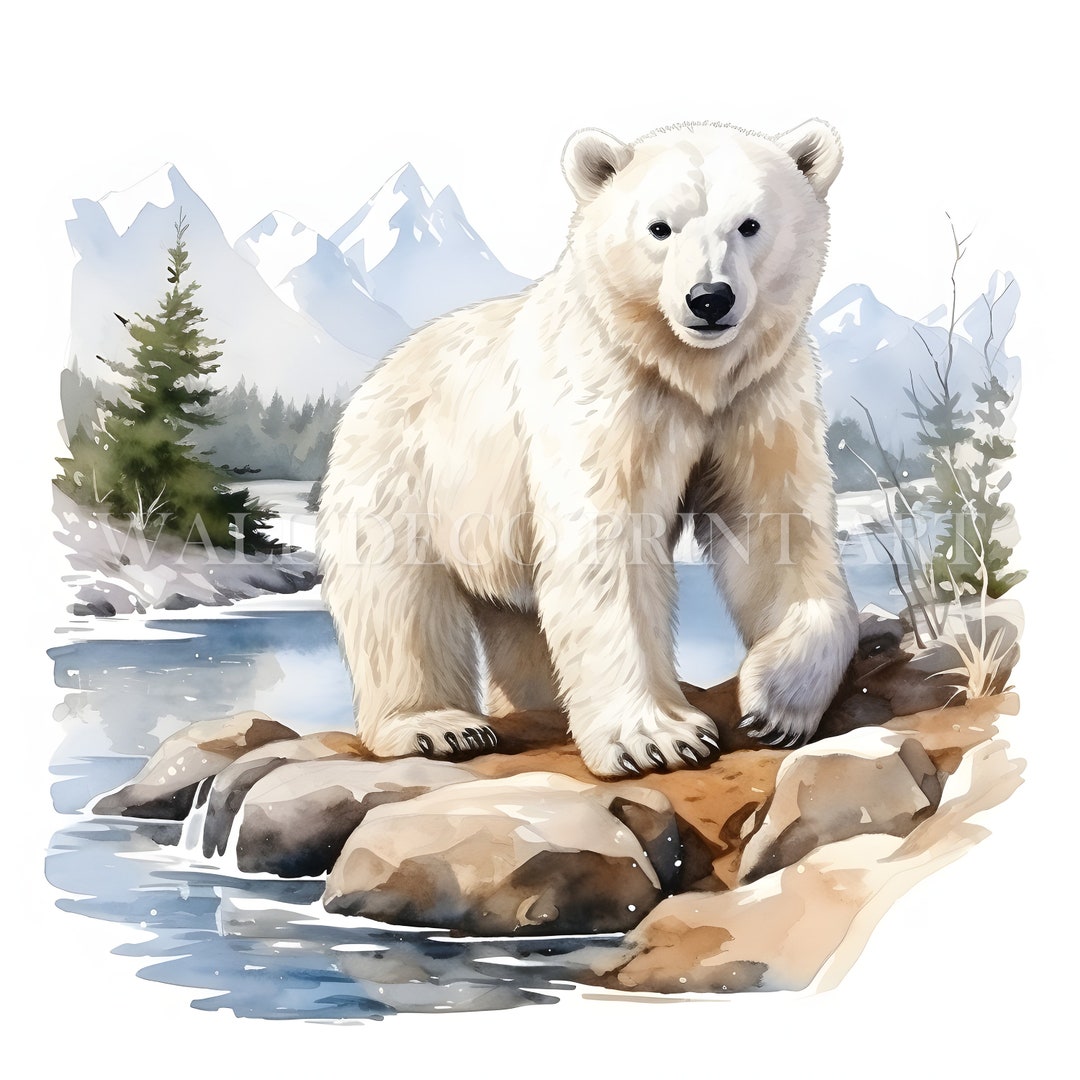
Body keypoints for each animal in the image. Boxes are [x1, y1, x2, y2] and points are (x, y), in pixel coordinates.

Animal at [317, 119, 859, 779]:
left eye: (749, 224)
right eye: (659, 227)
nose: (710, 298)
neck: (685, 370)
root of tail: (373, 381)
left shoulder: (758, 397)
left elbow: (774, 525)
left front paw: (776, 704)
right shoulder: (602, 395)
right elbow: (607, 546)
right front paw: (658, 737)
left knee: (519, 621)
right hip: (403, 476)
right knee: (400, 603)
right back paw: (439, 726)